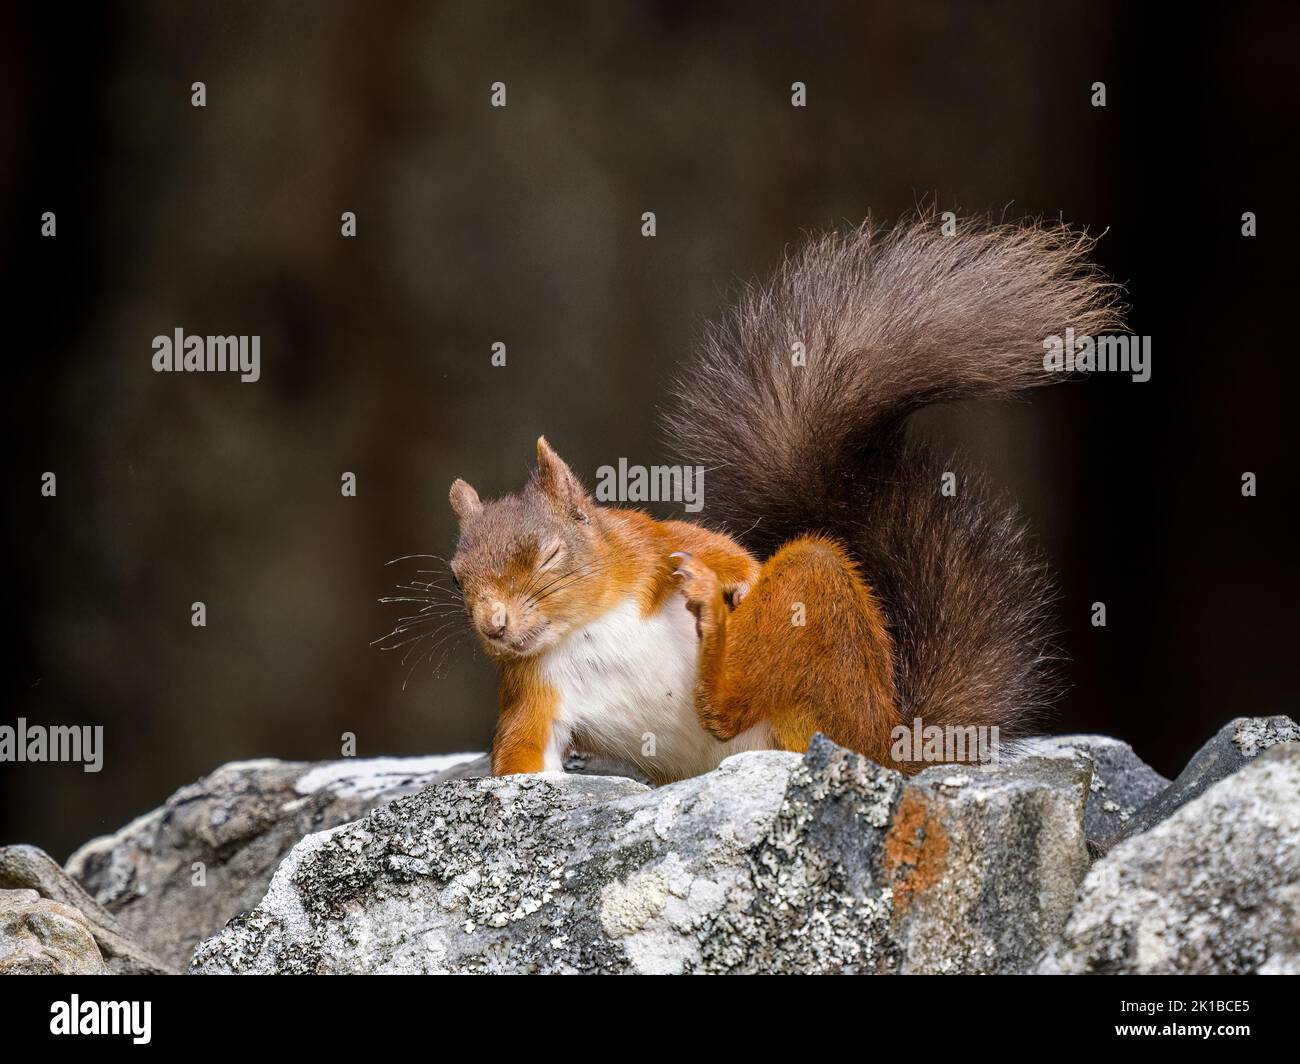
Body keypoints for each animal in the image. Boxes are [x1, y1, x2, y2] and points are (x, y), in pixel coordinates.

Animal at [446, 214, 1122, 782]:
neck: (585, 628)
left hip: (821, 635)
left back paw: (718, 627)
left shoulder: (656, 546)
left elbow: (730, 556)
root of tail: (890, 748)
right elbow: (520, 758)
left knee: (746, 678)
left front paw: (737, 585)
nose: (494, 625)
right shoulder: (536, 695)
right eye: (457, 577)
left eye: (549, 554)